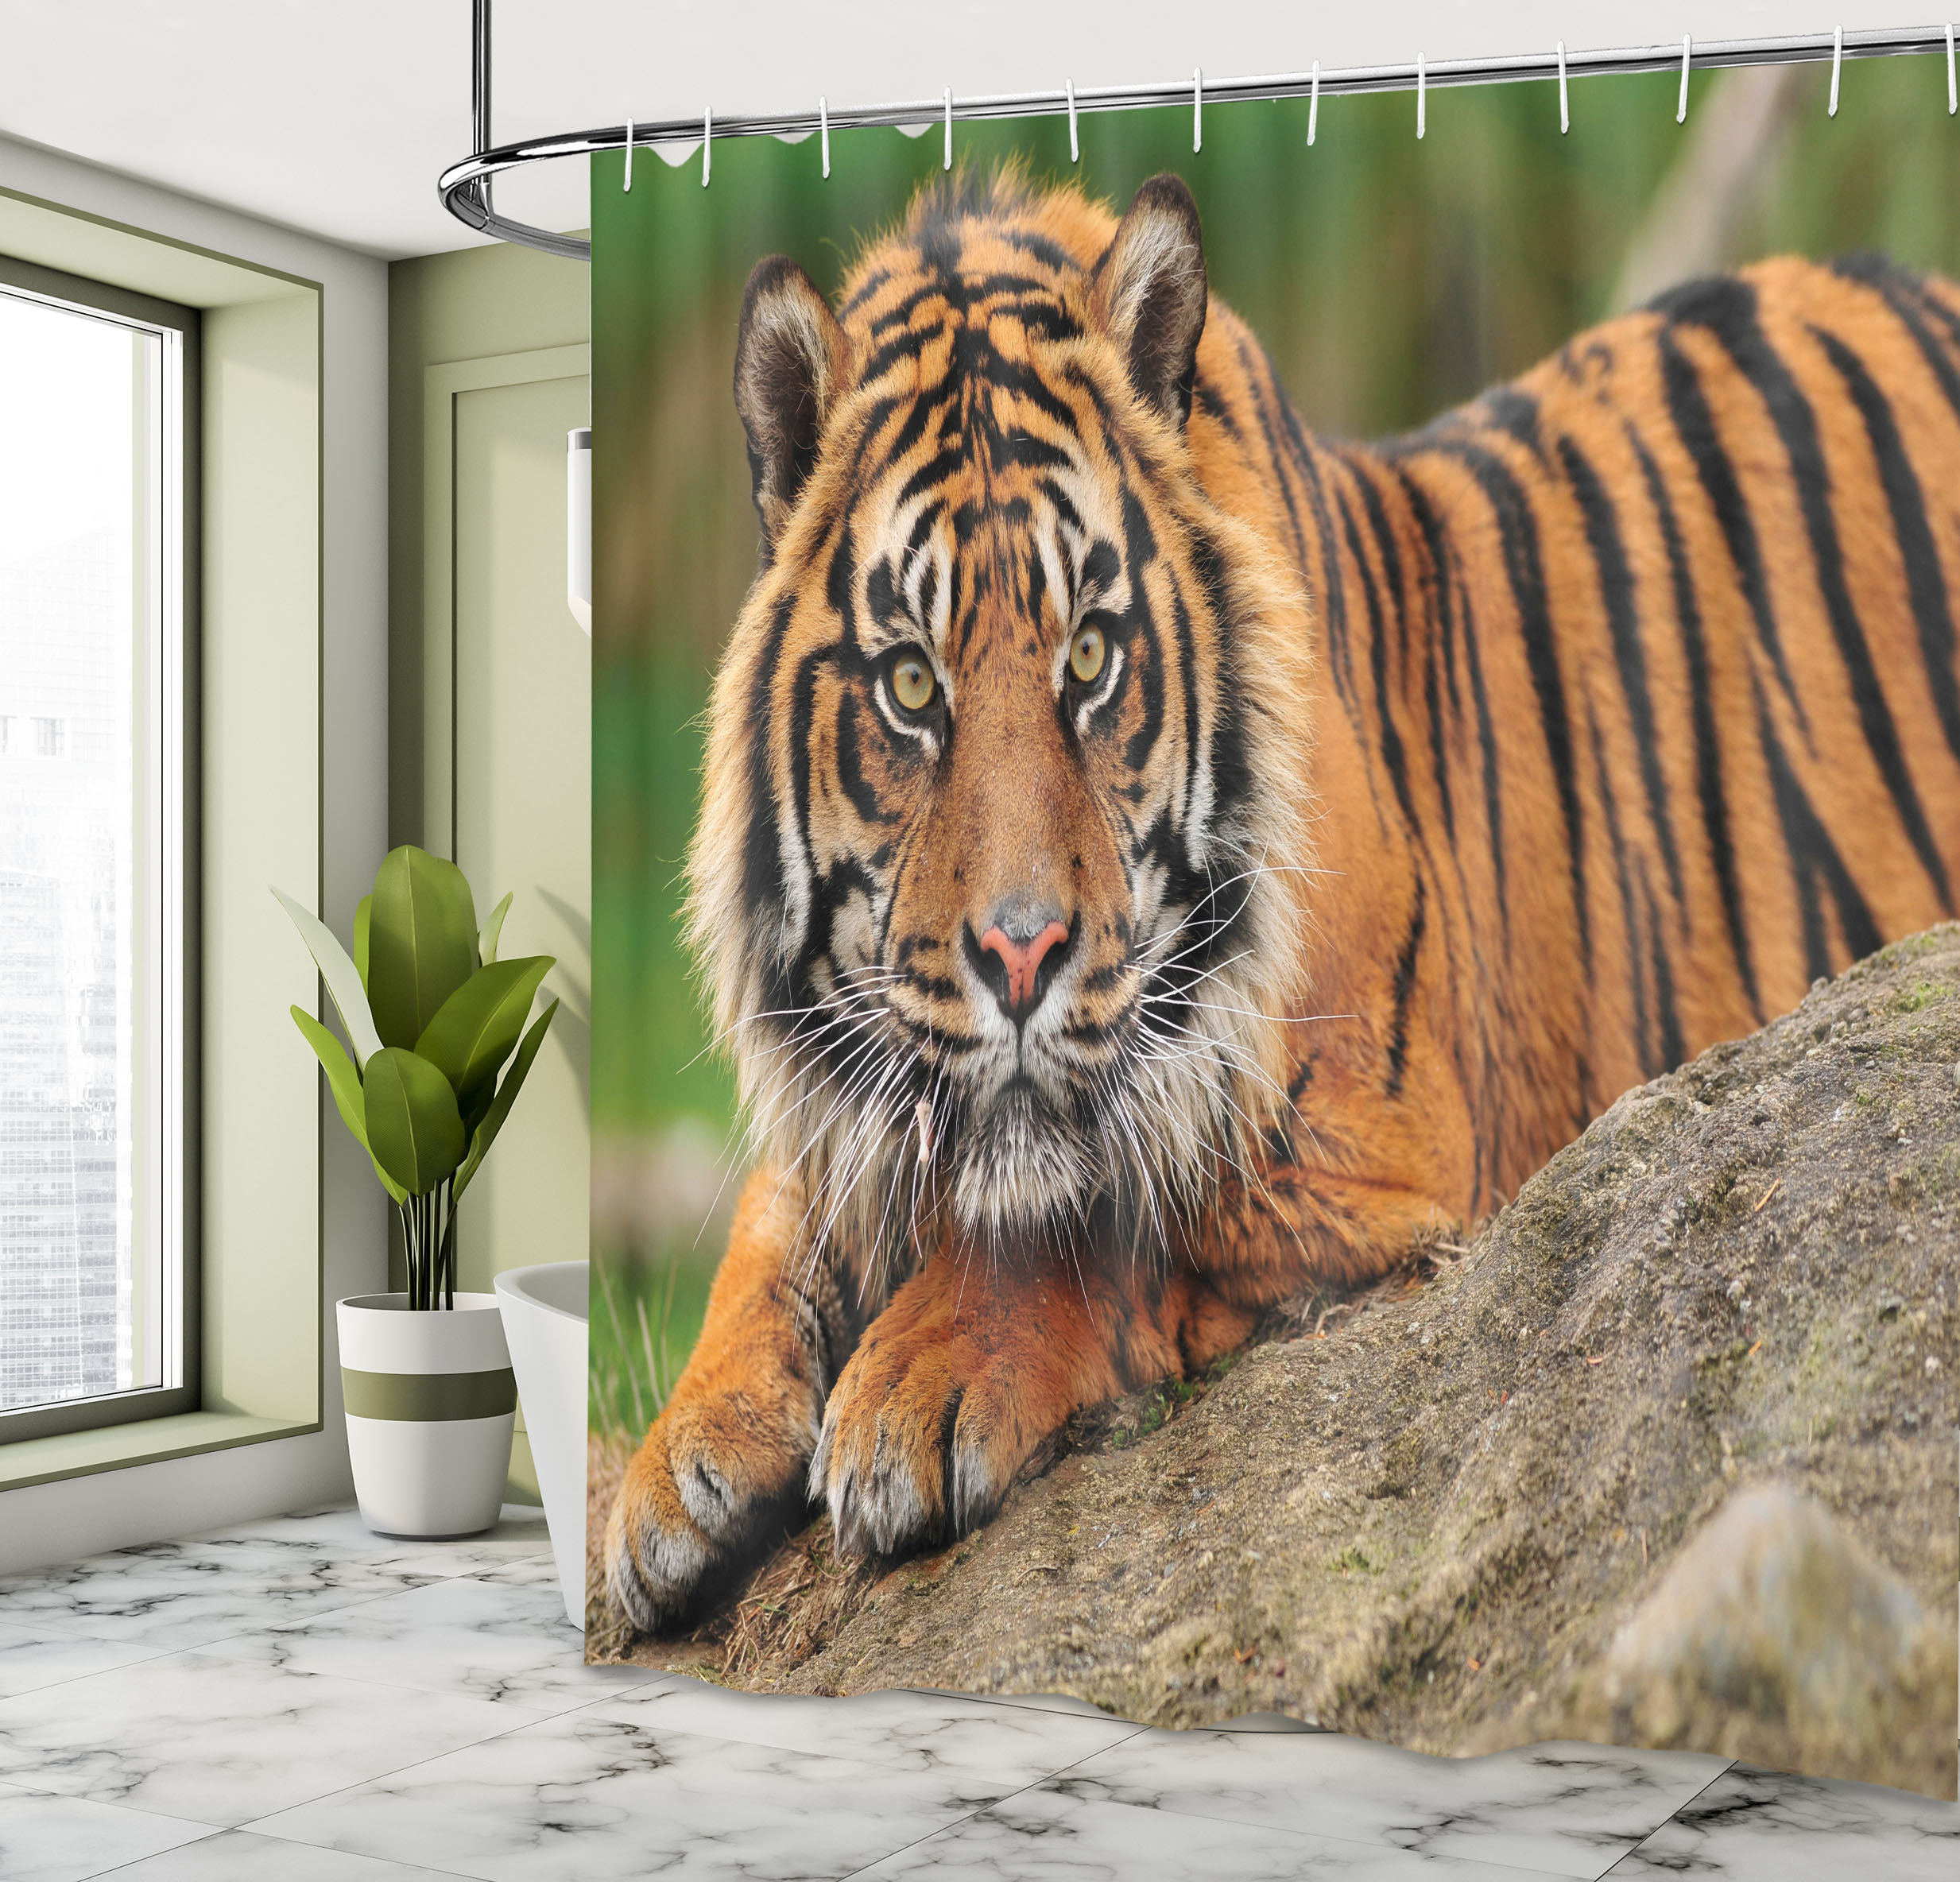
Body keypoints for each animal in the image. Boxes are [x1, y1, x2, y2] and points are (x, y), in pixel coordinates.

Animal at [605, 167, 1960, 1632]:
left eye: (1093, 658)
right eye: (911, 684)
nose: (1021, 957)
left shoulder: (1374, 1153)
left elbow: (1104, 1221)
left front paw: (917, 1385)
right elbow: (777, 1217)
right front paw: (678, 1462)